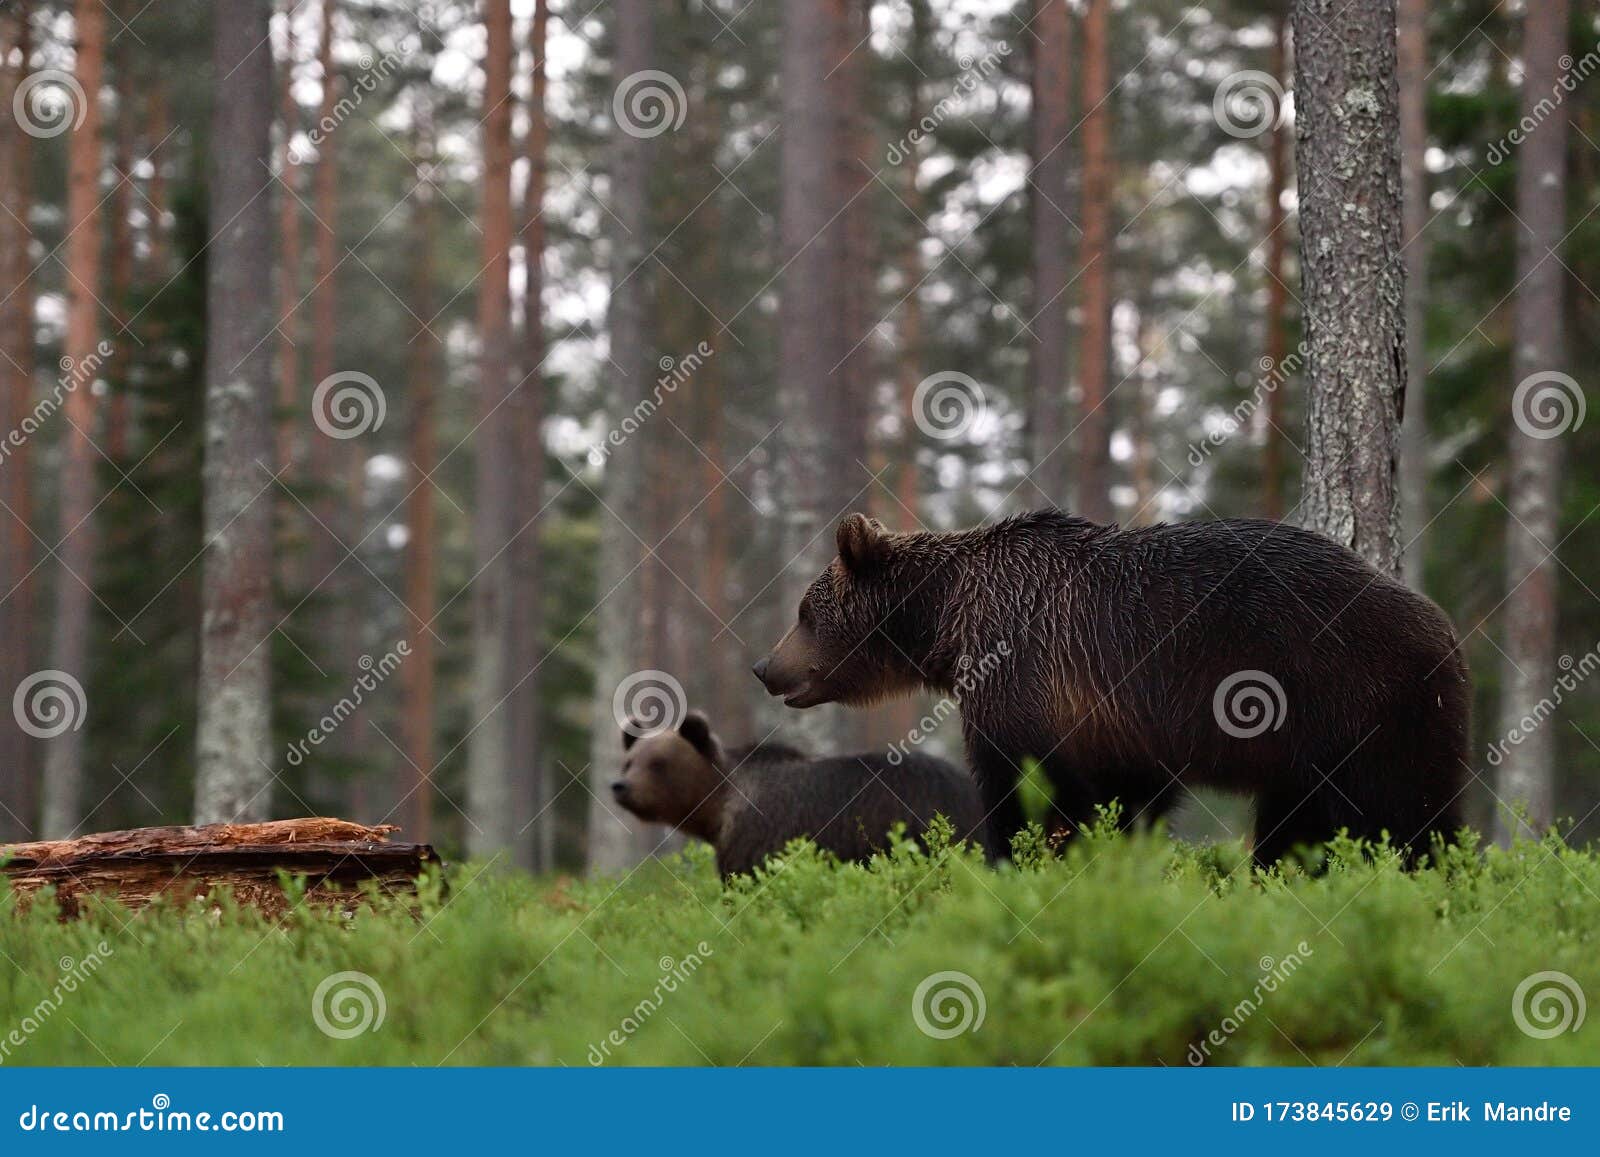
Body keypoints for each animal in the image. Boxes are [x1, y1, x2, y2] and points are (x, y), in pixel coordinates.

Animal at [752, 511, 1471, 867]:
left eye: (805, 611)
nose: (764, 666)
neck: (948, 621)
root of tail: (1446, 628)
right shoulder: (1117, 722)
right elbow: (1125, 795)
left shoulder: (1019, 673)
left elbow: (1020, 785)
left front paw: (1012, 858)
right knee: (1297, 823)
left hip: (1359, 703)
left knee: (1405, 813)